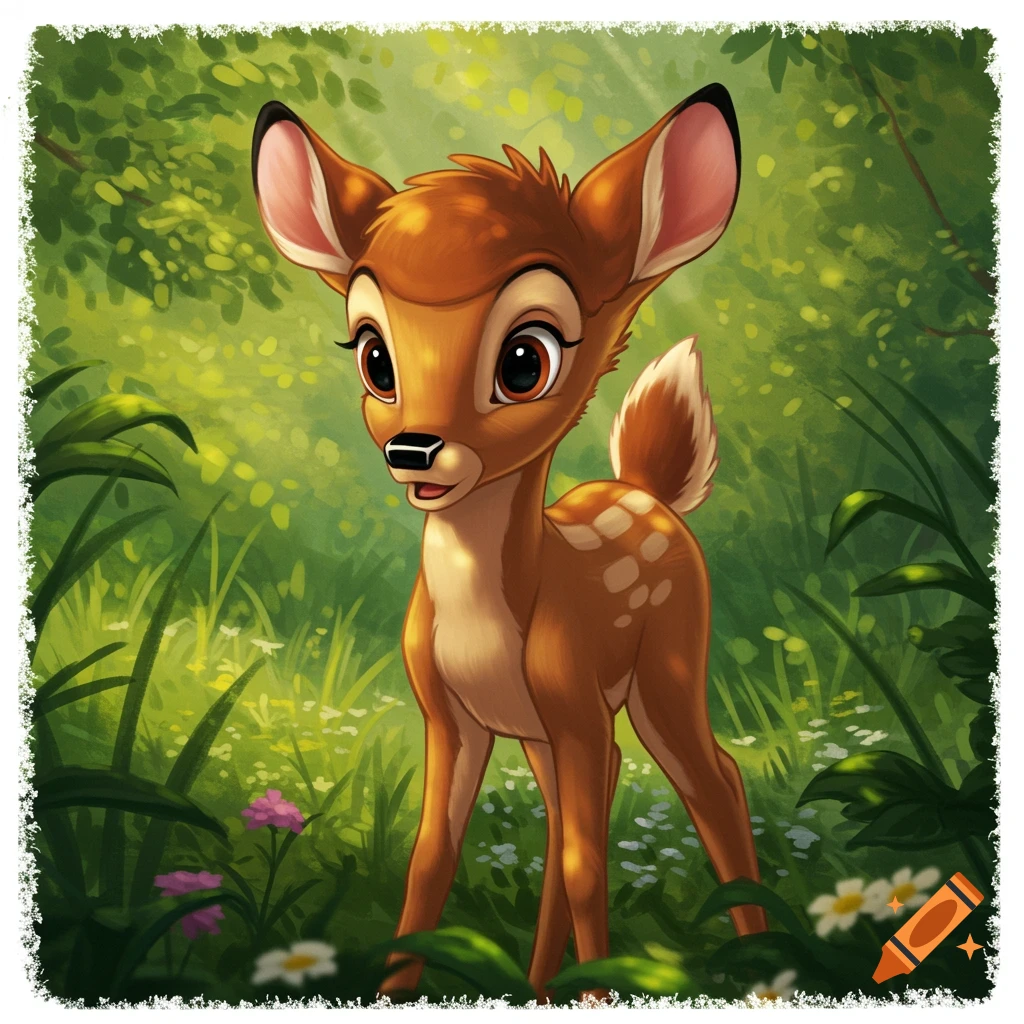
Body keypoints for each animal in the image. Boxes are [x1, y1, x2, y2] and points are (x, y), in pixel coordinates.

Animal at [252, 81, 768, 1000]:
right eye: (374, 355)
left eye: (526, 360)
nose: (413, 450)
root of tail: (649, 492)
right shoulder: (456, 718)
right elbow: (433, 860)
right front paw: (395, 991)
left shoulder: (575, 705)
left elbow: (588, 868)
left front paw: (602, 993)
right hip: (548, 728)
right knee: (583, 806)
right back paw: (538, 986)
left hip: (666, 668)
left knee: (715, 783)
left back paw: (765, 971)